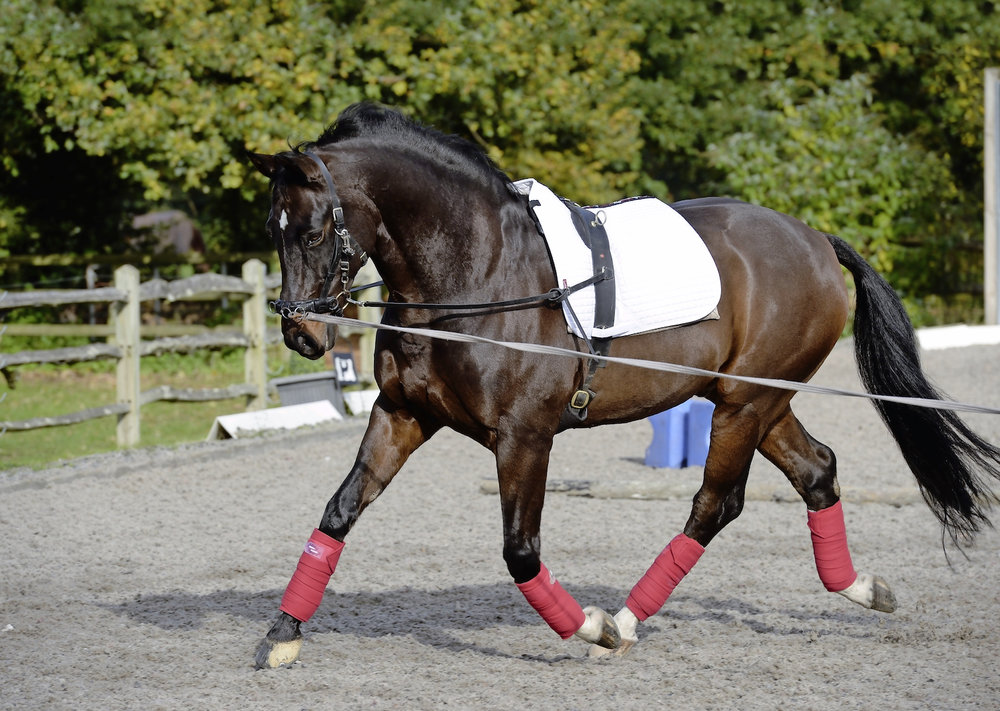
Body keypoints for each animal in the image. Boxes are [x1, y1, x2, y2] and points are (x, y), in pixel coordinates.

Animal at [247, 102, 1000, 669]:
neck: (474, 270)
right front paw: (283, 635)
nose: (302, 336)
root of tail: (814, 237)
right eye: (273, 231)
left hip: (745, 404)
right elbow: (338, 511)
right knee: (816, 471)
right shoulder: (401, 414)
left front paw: (591, 627)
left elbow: (520, 551)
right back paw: (862, 589)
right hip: (755, 399)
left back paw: (627, 621)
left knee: (715, 505)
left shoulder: (525, 436)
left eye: (312, 232)